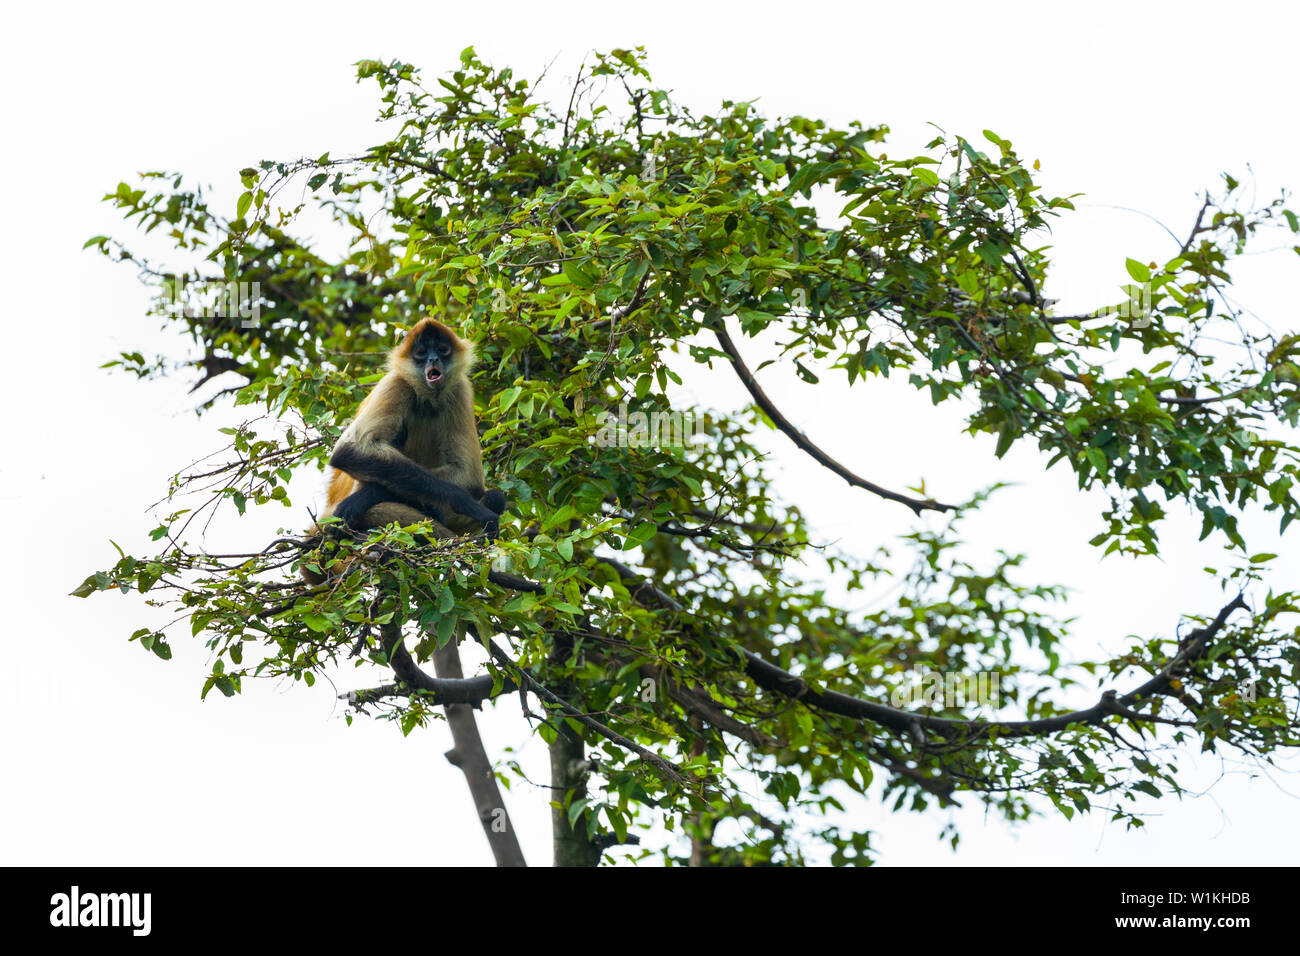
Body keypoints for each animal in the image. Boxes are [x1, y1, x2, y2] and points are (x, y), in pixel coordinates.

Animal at [301, 317, 505, 583]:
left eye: (442, 350)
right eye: (421, 353)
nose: (433, 360)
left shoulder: (459, 387)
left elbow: (469, 475)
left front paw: (370, 494)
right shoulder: (396, 382)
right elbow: (349, 451)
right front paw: (462, 500)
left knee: (496, 497)